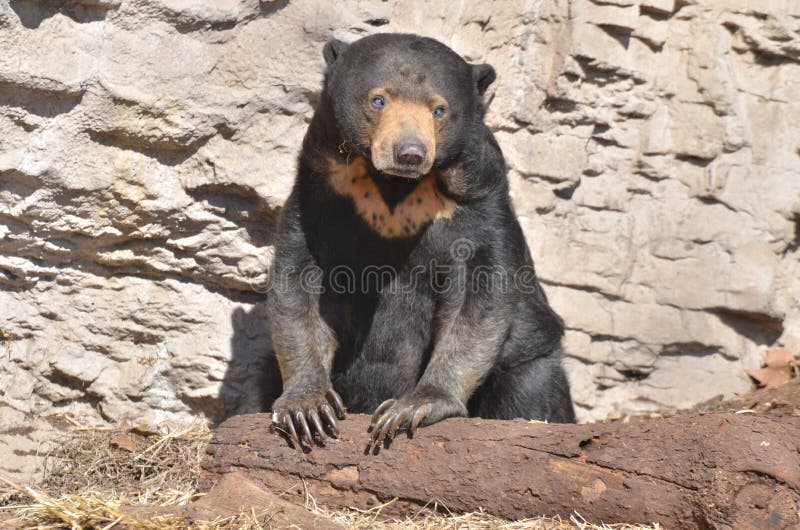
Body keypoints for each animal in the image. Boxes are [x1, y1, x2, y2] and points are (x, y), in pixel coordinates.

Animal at [267, 33, 576, 450]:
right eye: (378, 100)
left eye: (439, 109)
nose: (410, 153)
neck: (396, 188)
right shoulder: (319, 193)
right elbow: (299, 282)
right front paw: (307, 407)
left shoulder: (478, 198)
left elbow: (479, 294)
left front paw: (412, 408)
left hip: (529, 359)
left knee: (532, 393)